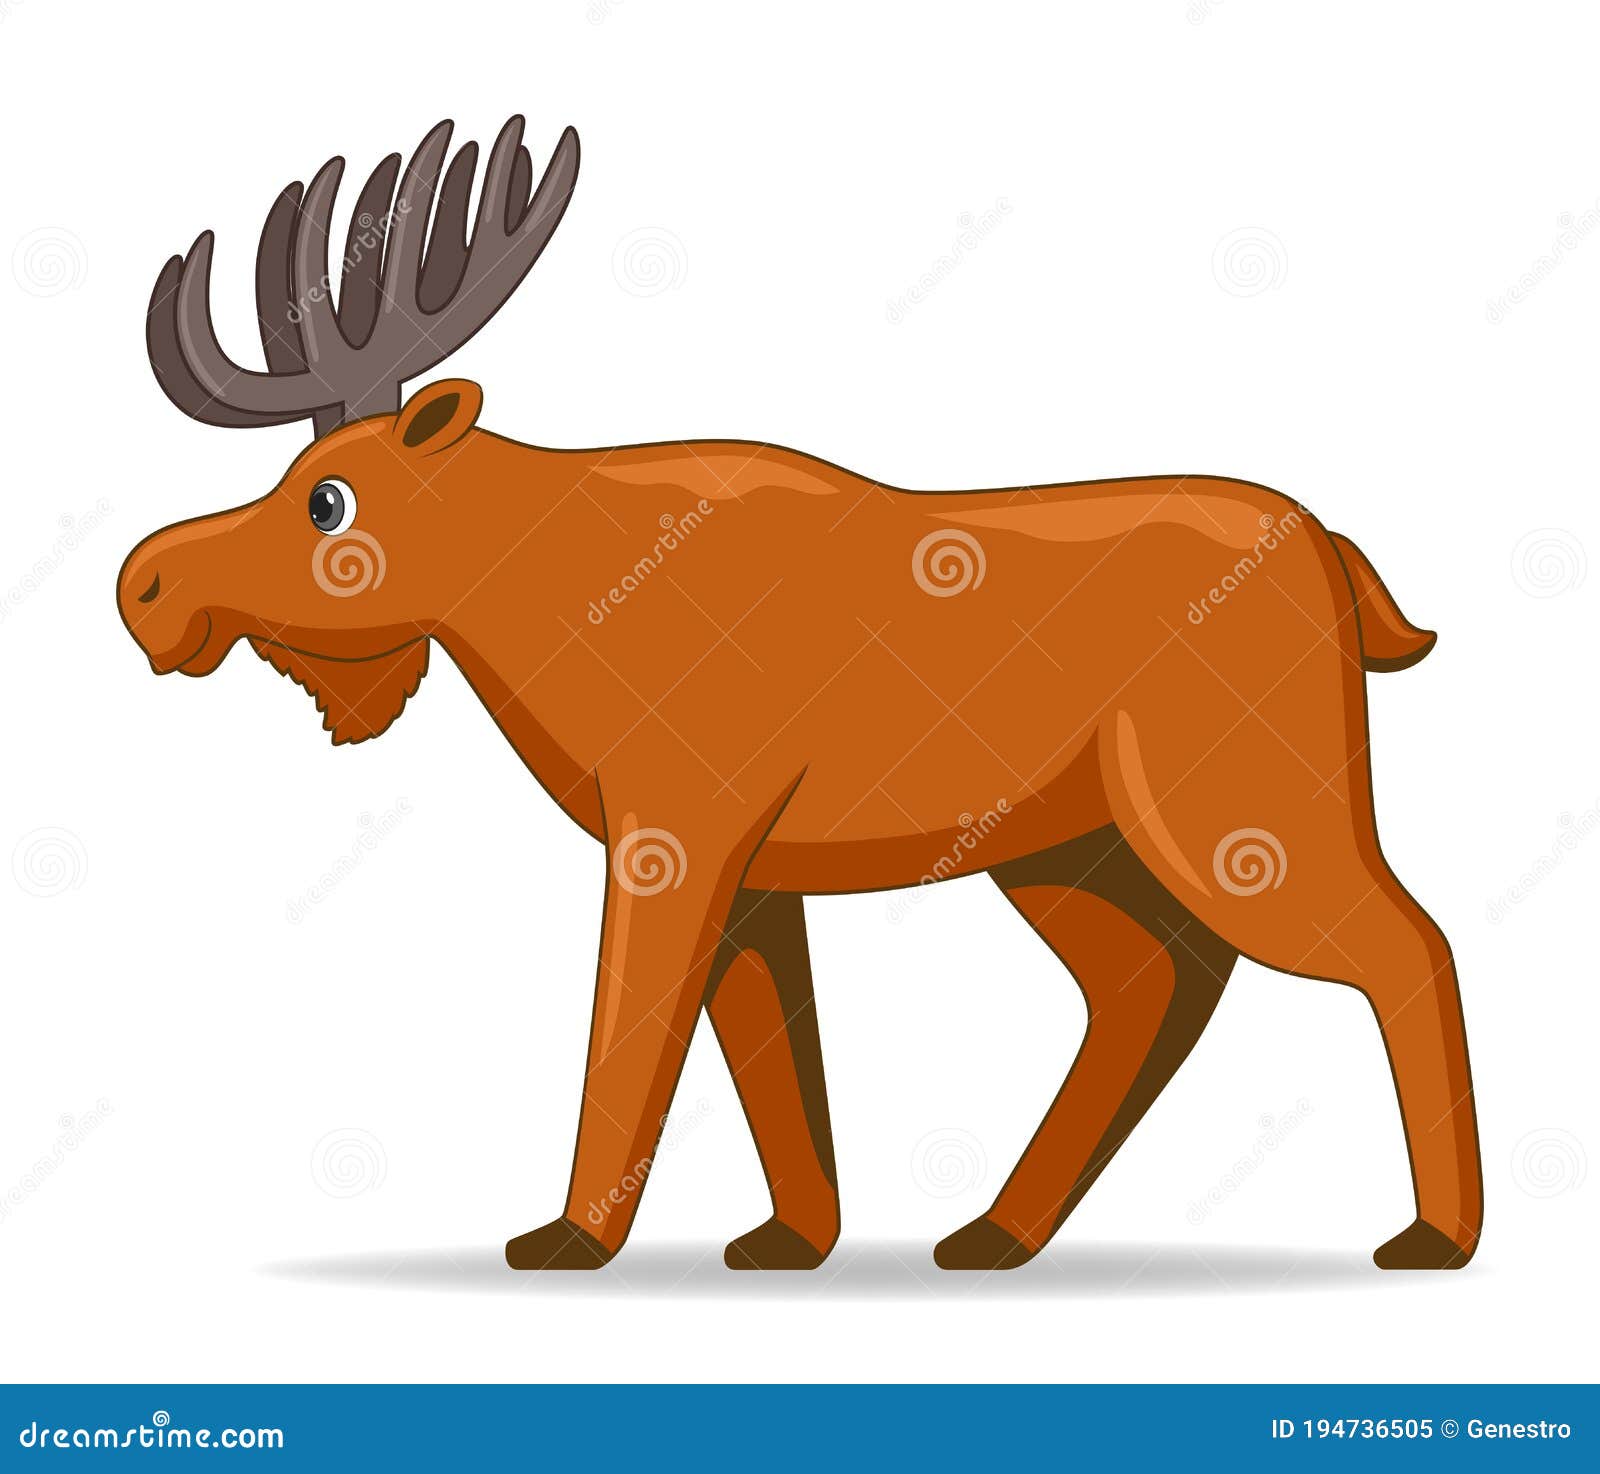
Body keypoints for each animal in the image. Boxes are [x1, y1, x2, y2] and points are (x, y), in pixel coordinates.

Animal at [118, 117, 1482, 1274]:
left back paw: (1436, 1232)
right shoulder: (753, 864)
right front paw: (792, 1235)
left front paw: (572, 1233)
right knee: (1155, 985)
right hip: (1063, 842)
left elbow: (633, 1039)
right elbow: (774, 1056)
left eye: (326, 500)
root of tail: (1341, 561)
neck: (542, 614)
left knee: (1406, 943)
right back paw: (996, 1230)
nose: (145, 584)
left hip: (1240, 813)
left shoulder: (672, 826)